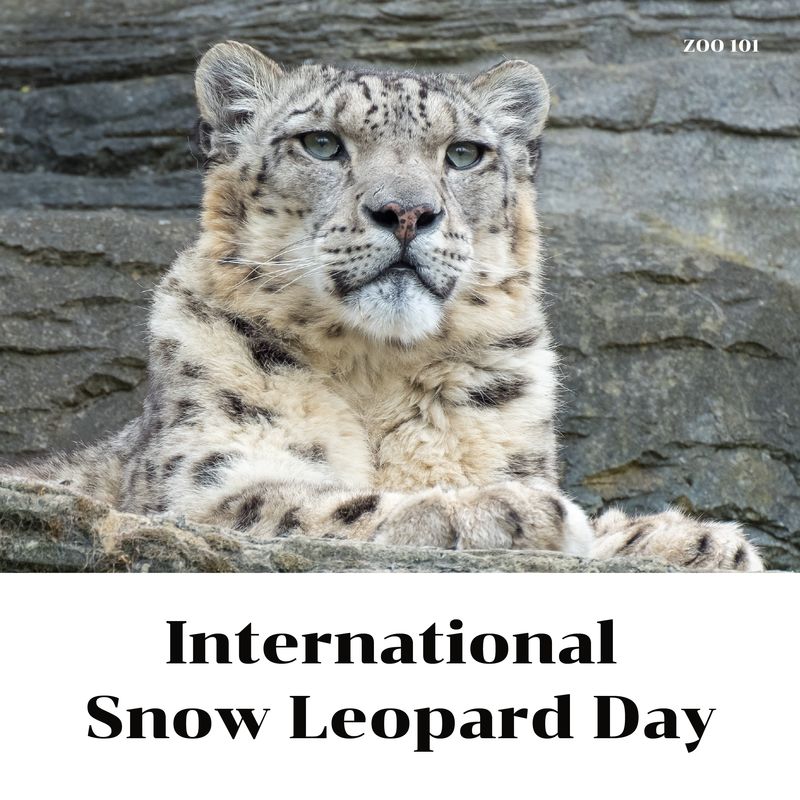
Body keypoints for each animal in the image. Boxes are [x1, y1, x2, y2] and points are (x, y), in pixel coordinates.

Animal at [4, 41, 762, 571]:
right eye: (321, 143)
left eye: (464, 153)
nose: (406, 212)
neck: (376, 370)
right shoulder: (200, 487)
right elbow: (310, 505)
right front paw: (509, 512)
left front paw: (692, 541)